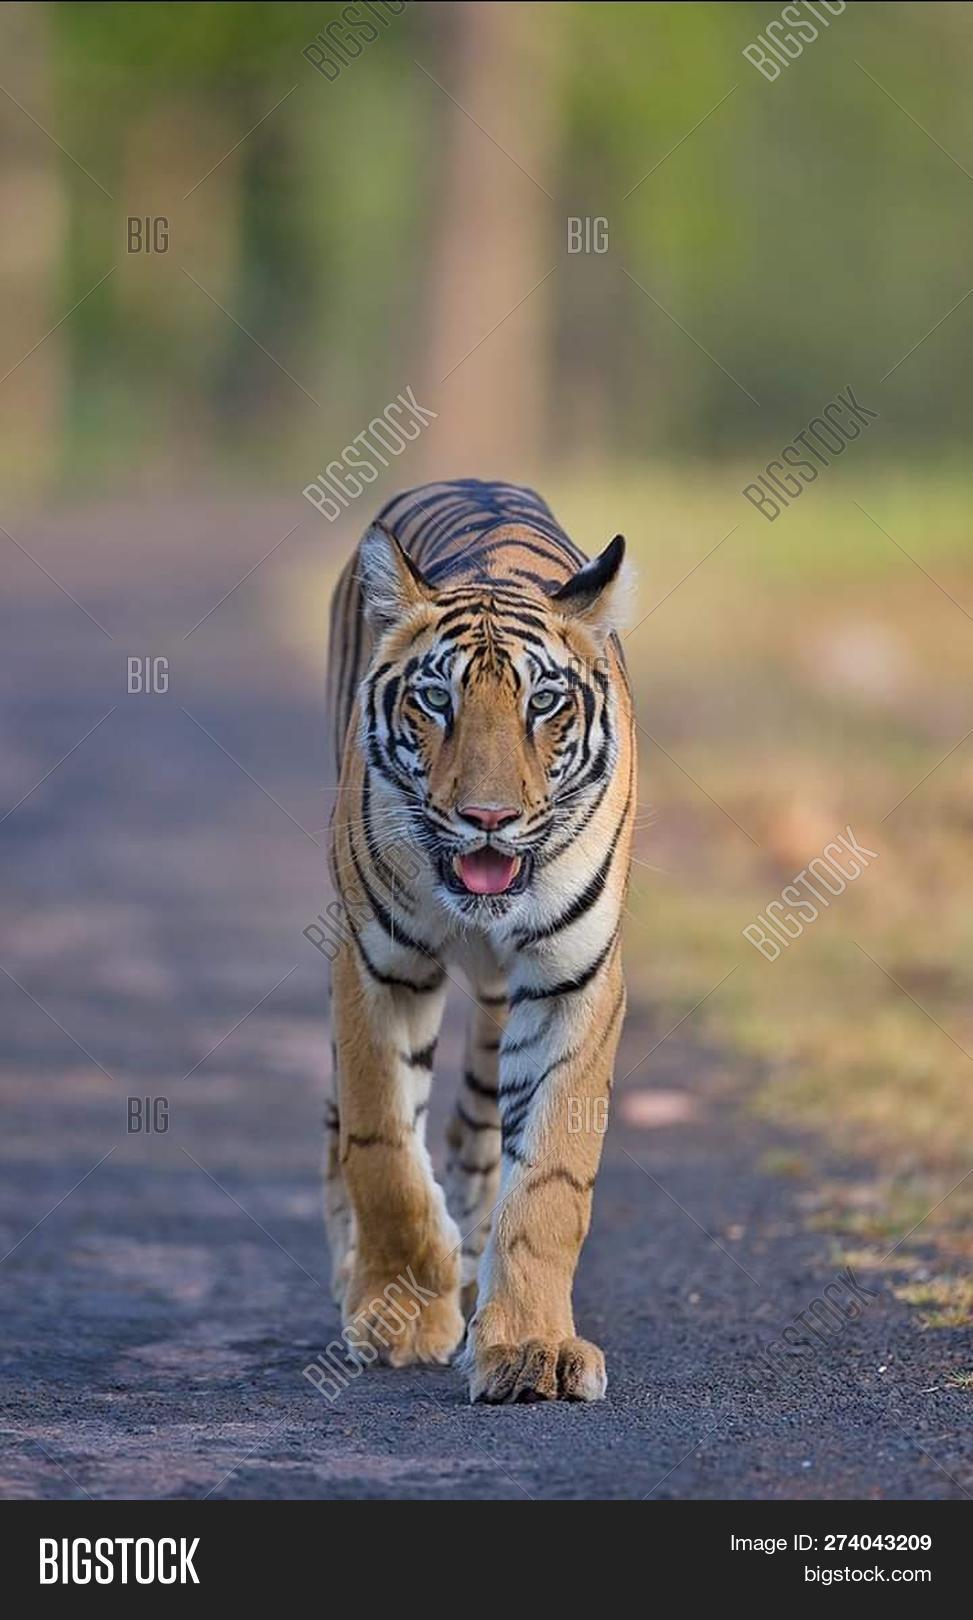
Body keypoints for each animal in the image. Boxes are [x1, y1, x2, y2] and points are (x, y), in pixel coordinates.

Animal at [323, 478, 635, 1402]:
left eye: (543, 703)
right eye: (436, 700)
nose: (487, 818)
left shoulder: (574, 980)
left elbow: (551, 1181)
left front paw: (531, 1347)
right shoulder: (375, 963)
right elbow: (381, 1145)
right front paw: (396, 1312)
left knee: (476, 1130)